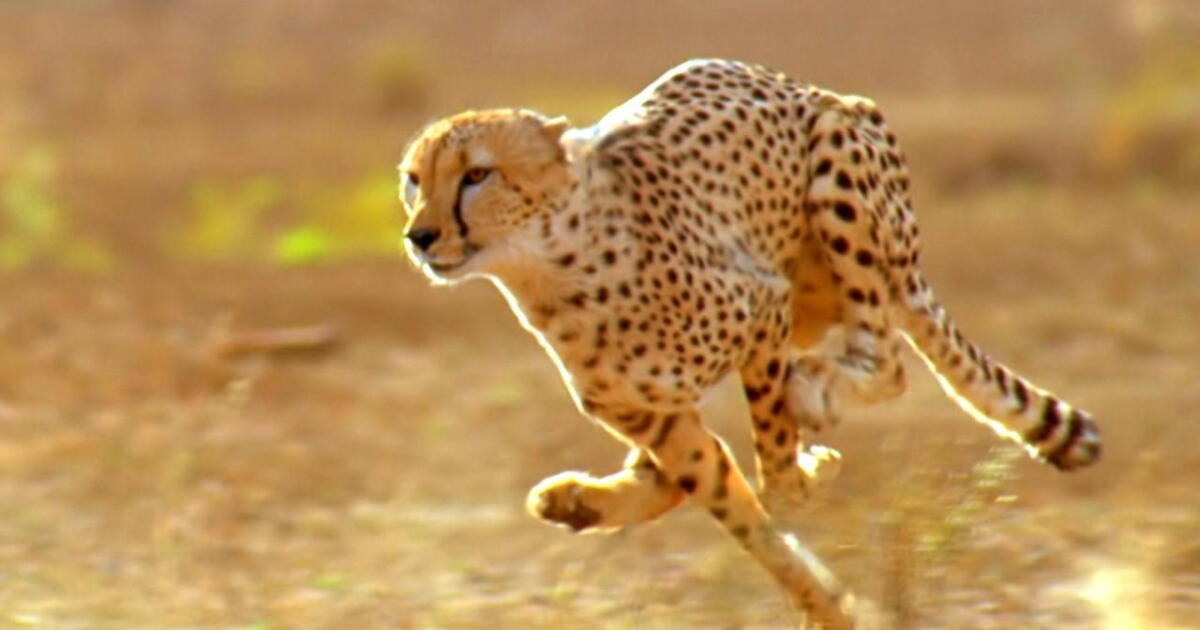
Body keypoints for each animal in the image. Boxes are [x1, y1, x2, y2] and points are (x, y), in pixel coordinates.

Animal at [397, 58, 1101, 629]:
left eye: (477, 175)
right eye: (413, 180)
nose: (419, 237)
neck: (547, 267)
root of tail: (823, 90)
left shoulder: (762, 309)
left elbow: (772, 467)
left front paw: (803, 477)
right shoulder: (656, 416)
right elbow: (734, 508)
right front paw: (825, 604)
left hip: (840, 174)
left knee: (884, 356)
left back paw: (815, 394)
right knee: (682, 471)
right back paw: (577, 502)